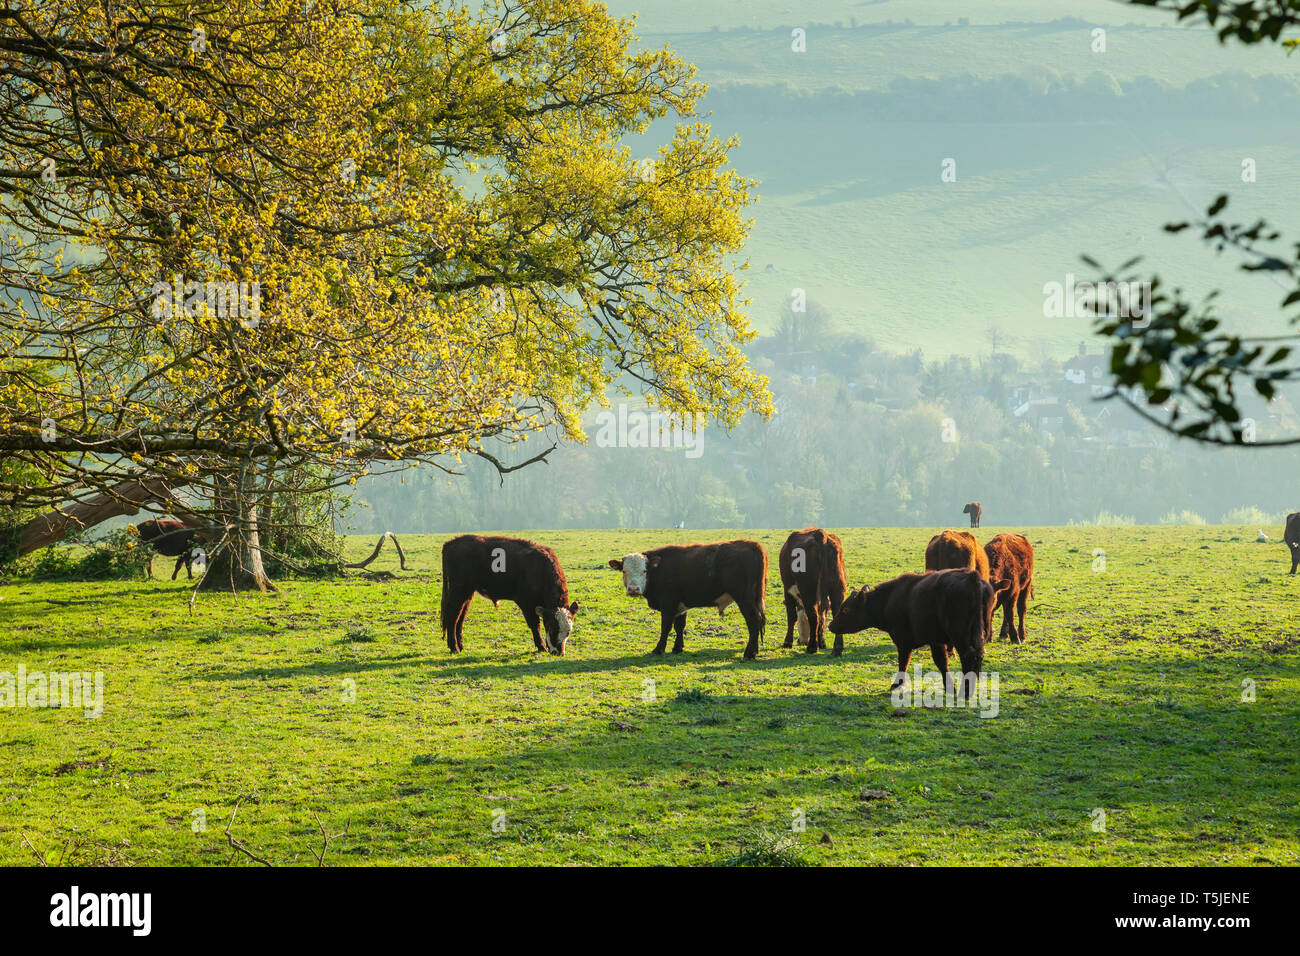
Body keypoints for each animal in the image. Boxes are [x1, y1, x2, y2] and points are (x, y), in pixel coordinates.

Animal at [440, 535, 579, 655]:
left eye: (568, 632)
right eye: (553, 628)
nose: (559, 653)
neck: (540, 569)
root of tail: (451, 543)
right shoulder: (526, 603)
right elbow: (535, 625)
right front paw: (541, 646)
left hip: (467, 593)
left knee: (460, 618)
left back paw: (461, 646)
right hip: (459, 591)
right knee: (452, 617)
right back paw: (454, 648)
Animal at [609, 540, 767, 659]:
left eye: (644, 571)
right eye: (624, 571)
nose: (633, 589)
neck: (658, 570)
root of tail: (752, 545)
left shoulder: (668, 604)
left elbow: (665, 627)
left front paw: (658, 649)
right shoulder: (680, 605)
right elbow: (679, 626)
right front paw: (678, 647)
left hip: (744, 599)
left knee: (754, 621)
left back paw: (749, 653)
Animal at [828, 569, 1006, 697]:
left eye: (845, 609)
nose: (830, 625)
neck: (889, 599)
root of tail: (972, 578)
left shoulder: (903, 642)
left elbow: (903, 662)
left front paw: (896, 684)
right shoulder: (935, 641)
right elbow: (941, 662)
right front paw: (949, 687)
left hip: (960, 636)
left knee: (969, 655)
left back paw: (967, 691)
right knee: (979, 654)